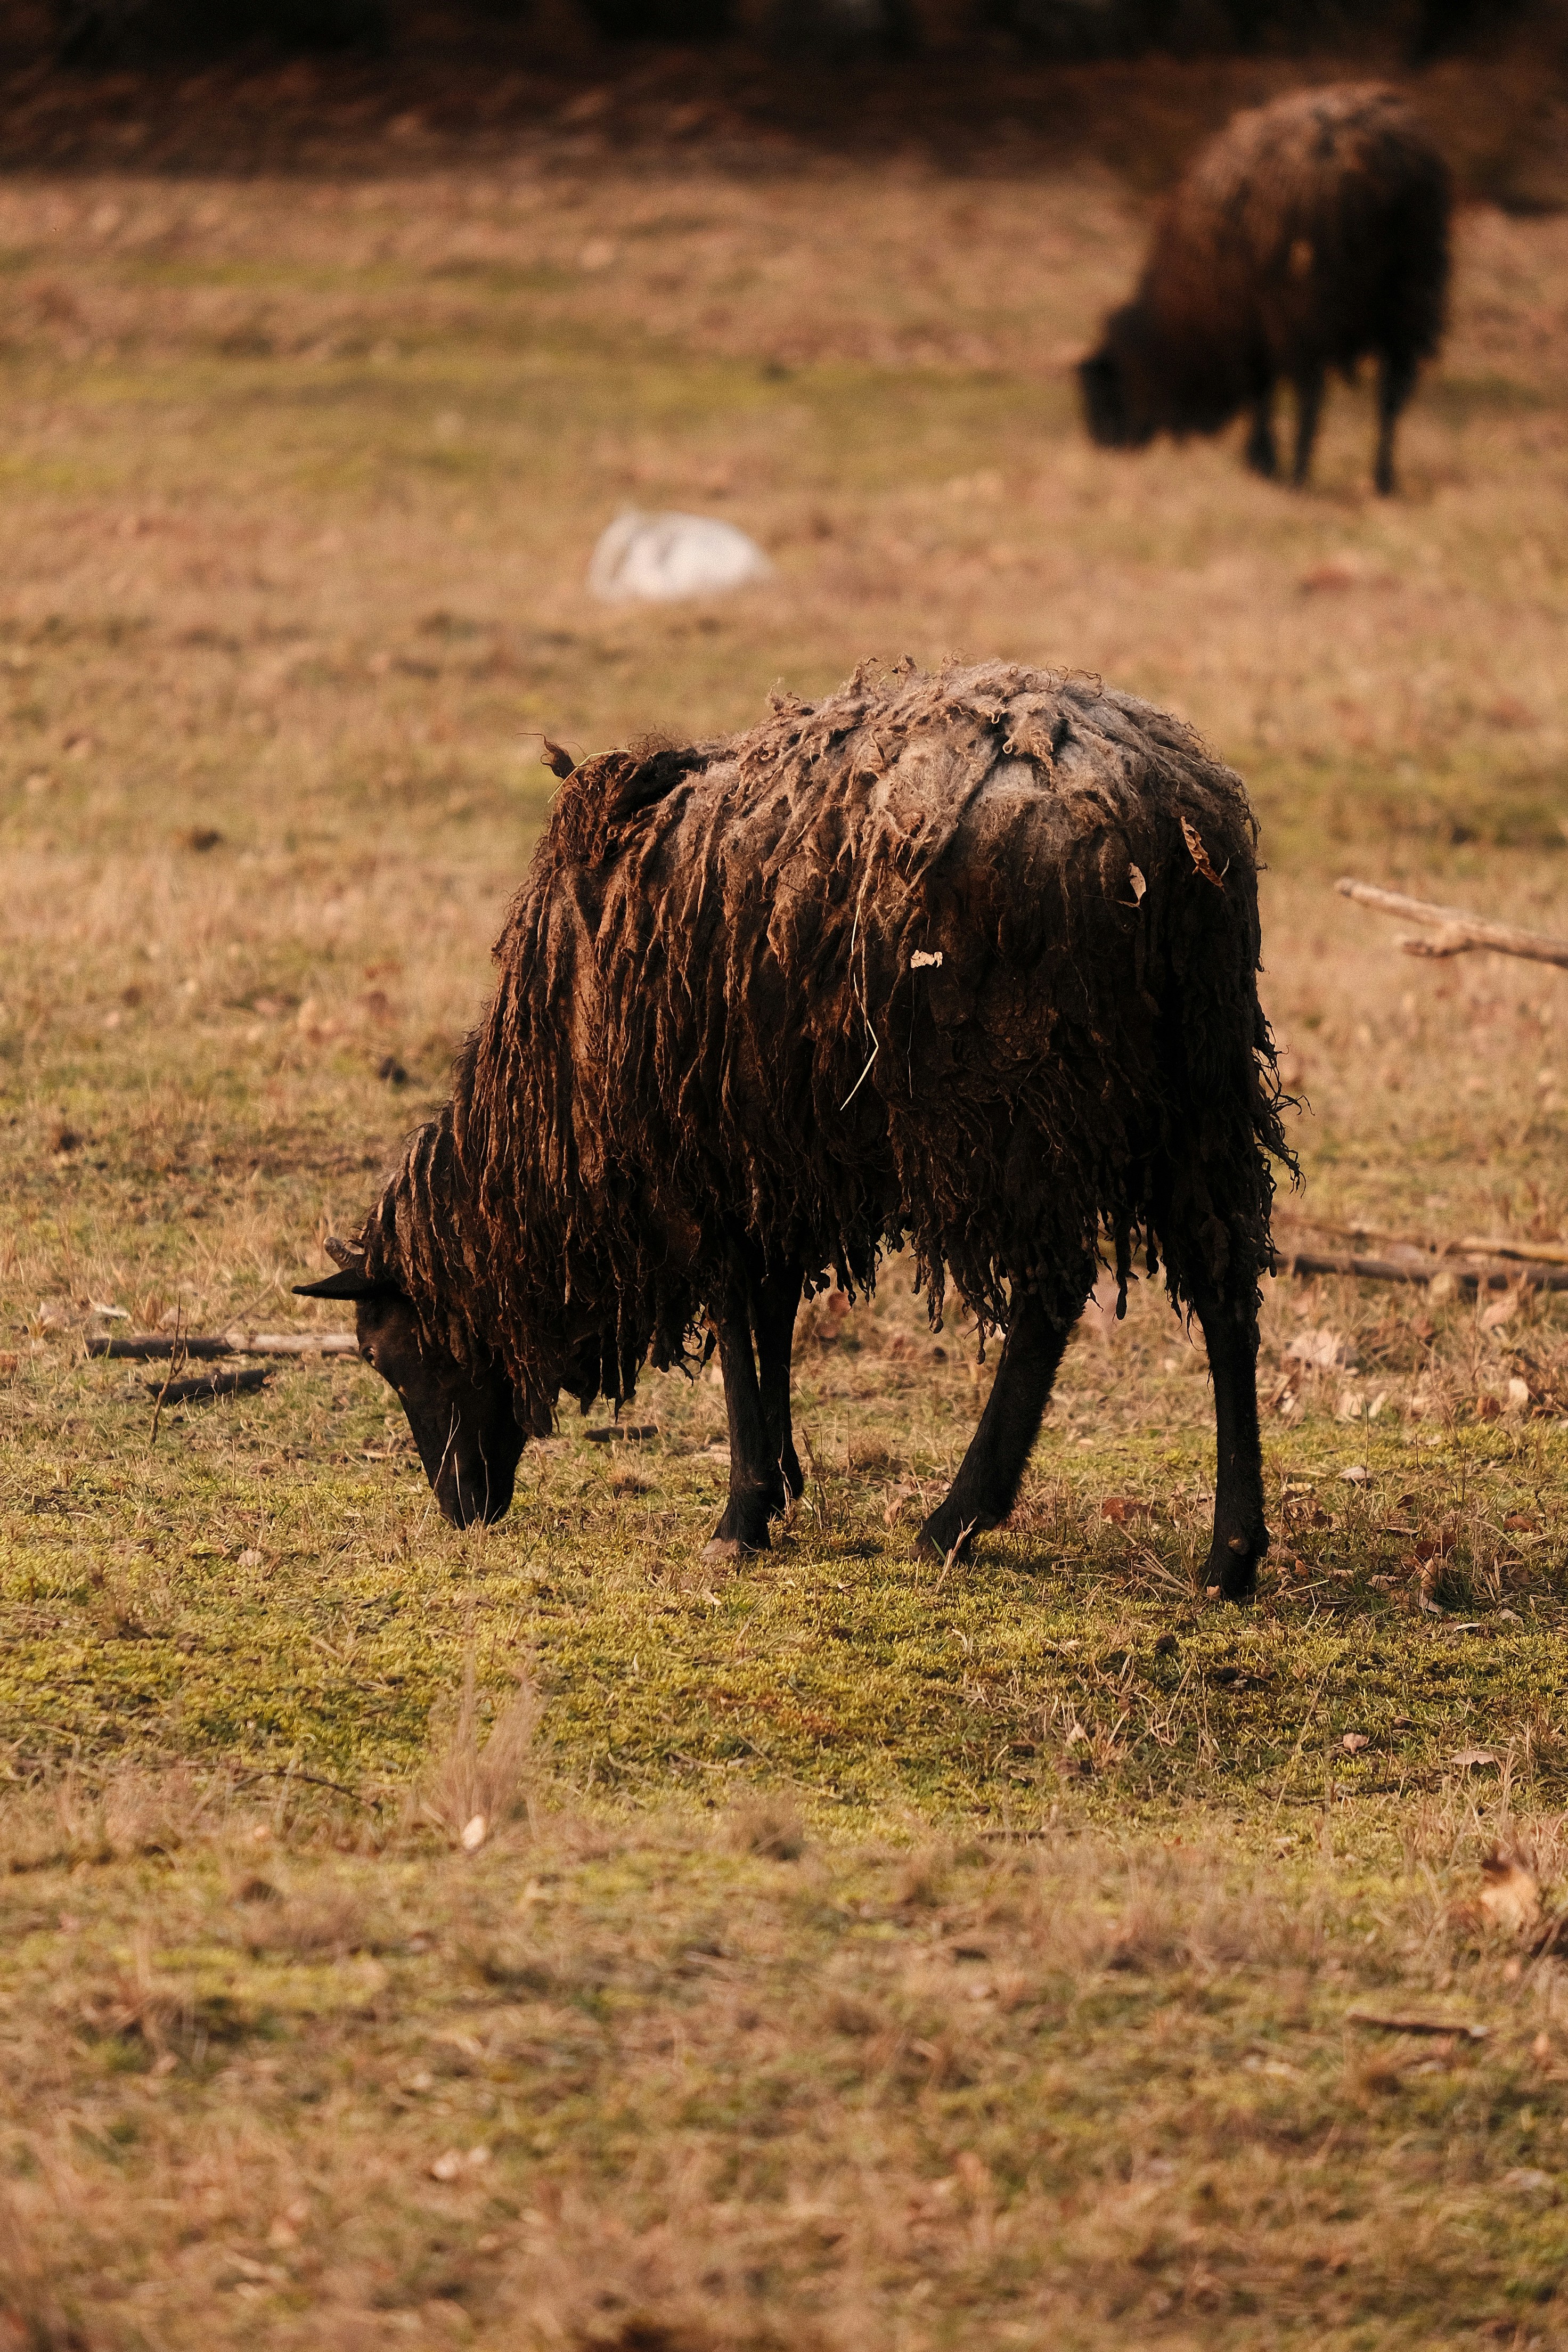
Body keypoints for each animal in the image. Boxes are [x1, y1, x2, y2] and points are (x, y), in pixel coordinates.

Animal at [298, 660, 1293, 1601]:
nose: (460, 1509)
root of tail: (1162, 809)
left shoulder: (703, 1159)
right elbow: (771, 1315)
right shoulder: (770, 1158)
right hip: (1196, 1083)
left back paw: (957, 1520)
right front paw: (778, 1482)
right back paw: (1230, 1557)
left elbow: (740, 1323)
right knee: (1223, 1286)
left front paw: (741, 1513)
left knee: (1049, 1297)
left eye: (387, 1355)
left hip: (1019, 1098)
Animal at [1078, 83, 1451, 494]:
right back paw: (1383, 481)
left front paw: (1263, 462)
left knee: (1312, 397)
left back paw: (1299, 478)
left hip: (1309, 309)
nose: (1104, 450)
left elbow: (1260, 394)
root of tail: (1382, 163)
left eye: (1110, 391)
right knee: (1391, 395)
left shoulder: (1245, 329)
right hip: (1412, 297)